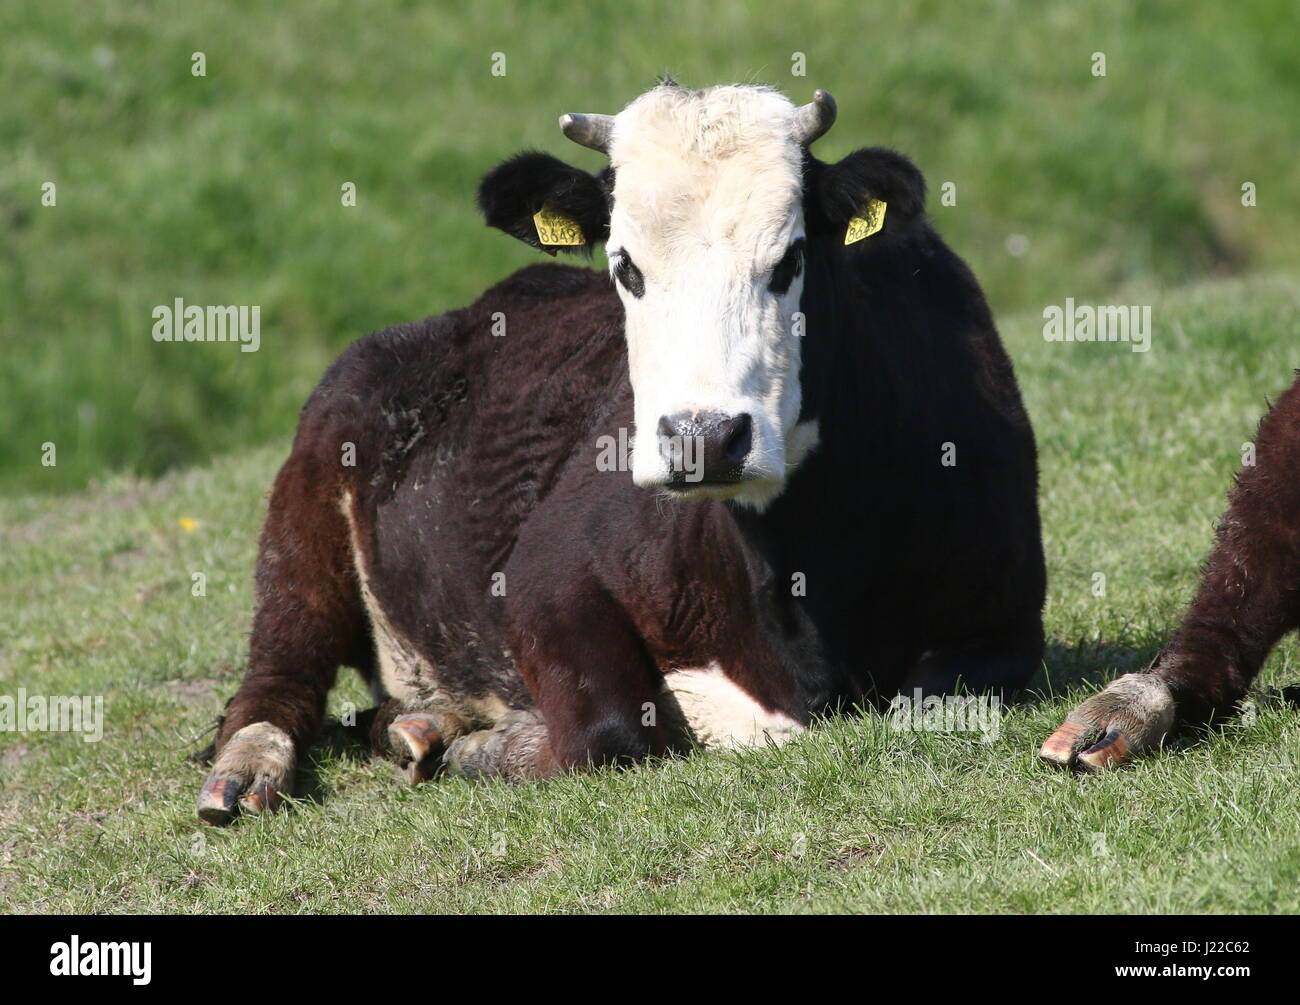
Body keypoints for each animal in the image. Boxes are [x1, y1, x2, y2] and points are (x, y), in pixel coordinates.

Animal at [198, 80, 1046, 824]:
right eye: (625, 265)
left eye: (791, 259)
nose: (703, 438)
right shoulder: (548, 567)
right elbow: (610, 729)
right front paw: (494, 747)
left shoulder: (1004, 616)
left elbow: (928, 704)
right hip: (306, 508)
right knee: (278, 676)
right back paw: (246, 770)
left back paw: (421, 727)